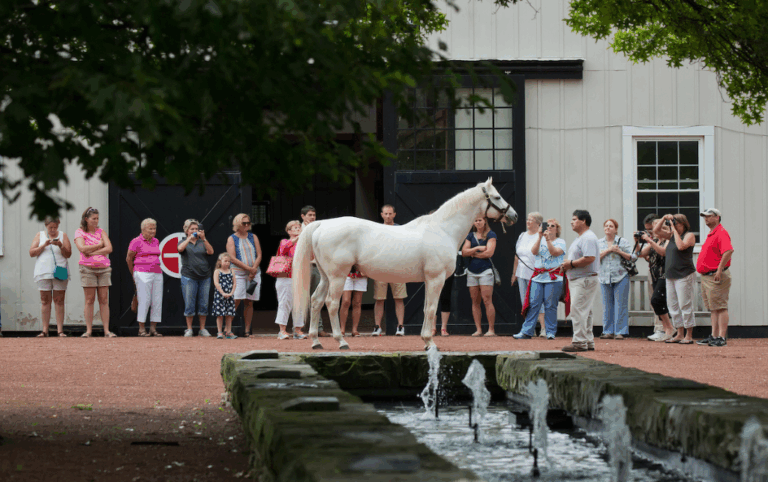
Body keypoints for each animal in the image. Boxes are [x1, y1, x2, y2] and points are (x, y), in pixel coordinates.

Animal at [291, 178, 517, 350]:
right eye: (497, 196)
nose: (513, 215)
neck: (442, 229)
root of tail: (322, 224)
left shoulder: (429, 281)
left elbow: (427, 308)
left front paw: (426, 341)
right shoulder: (436, 279)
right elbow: (431, 309)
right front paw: (429, 342)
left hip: (326, 277)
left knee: (316, 301)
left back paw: (316, 342)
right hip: (338, 277)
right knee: (331, 303)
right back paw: (342, 341)